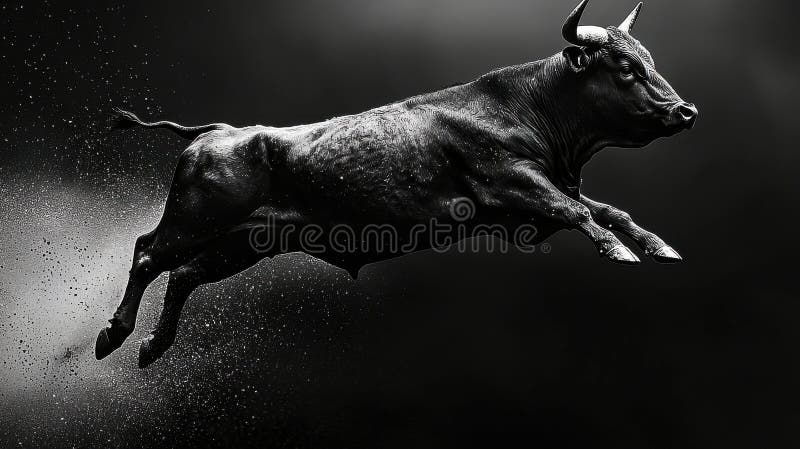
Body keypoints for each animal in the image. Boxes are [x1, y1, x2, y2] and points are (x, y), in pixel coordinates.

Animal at [96, 0, 698, 368]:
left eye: (648, 60)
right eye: (624, 68)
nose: (685, 111)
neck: (521, 108)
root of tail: (222, 131)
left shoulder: (542, 196)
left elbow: (609, 210)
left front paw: (657, 246)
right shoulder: (511, 184)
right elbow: (583, 213)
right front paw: (620, 253)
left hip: (245, 243)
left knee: (184, 276)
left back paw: (150, 347)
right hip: (194, 221)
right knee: (148, 253)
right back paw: (114, 334)